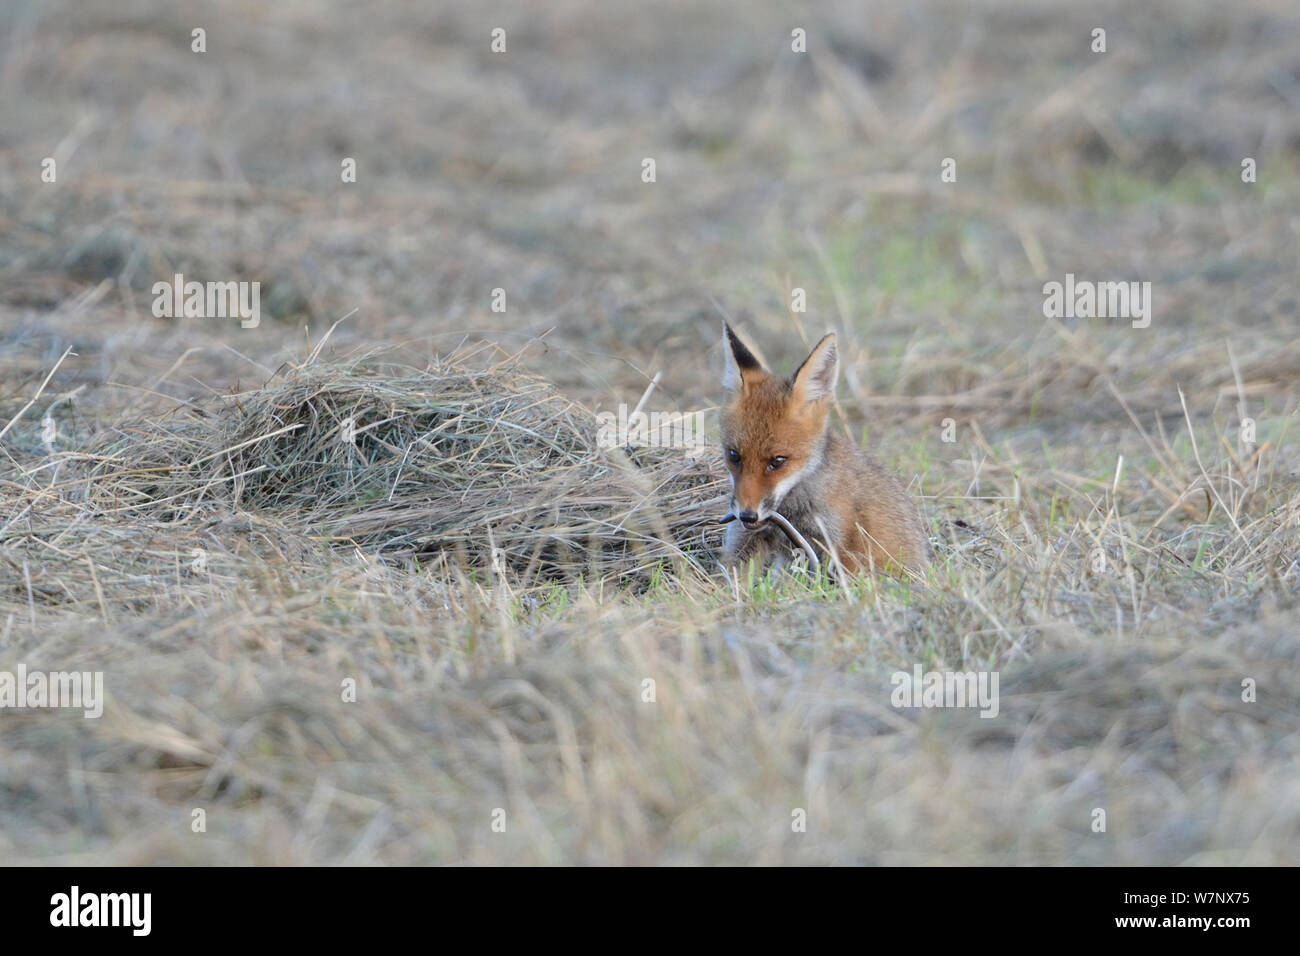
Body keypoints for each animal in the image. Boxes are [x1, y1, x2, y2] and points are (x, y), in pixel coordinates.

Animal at [719, 322, 929, 577]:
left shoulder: (842, 546)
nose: (747, 515)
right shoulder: (743, 542)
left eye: (778, 461)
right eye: (734, 455)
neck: (795, 507)